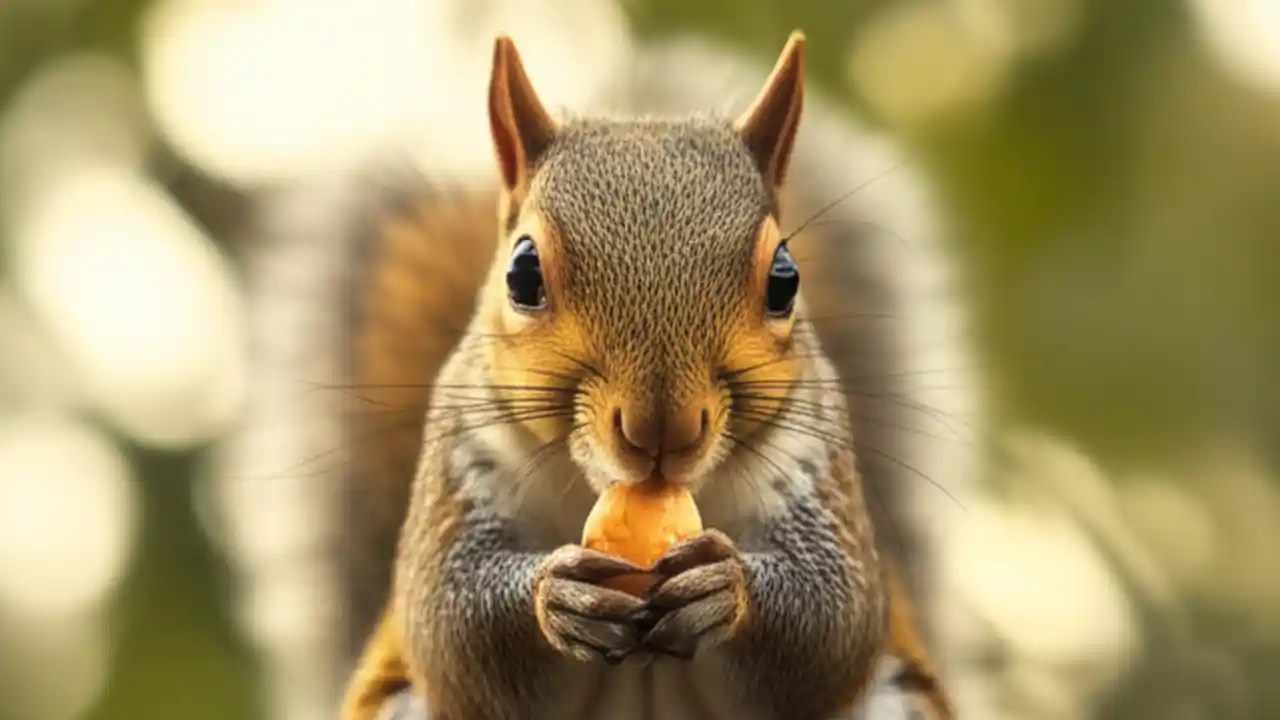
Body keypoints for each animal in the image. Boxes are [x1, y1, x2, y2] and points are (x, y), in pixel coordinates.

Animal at [214, 24, 979, 720]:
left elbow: (833, 621)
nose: (662, 430)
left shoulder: (819, 464)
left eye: (784, 281)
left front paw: (724, 586)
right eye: (522, 273)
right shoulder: (456, 467)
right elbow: (452, 625)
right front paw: (557, 595)